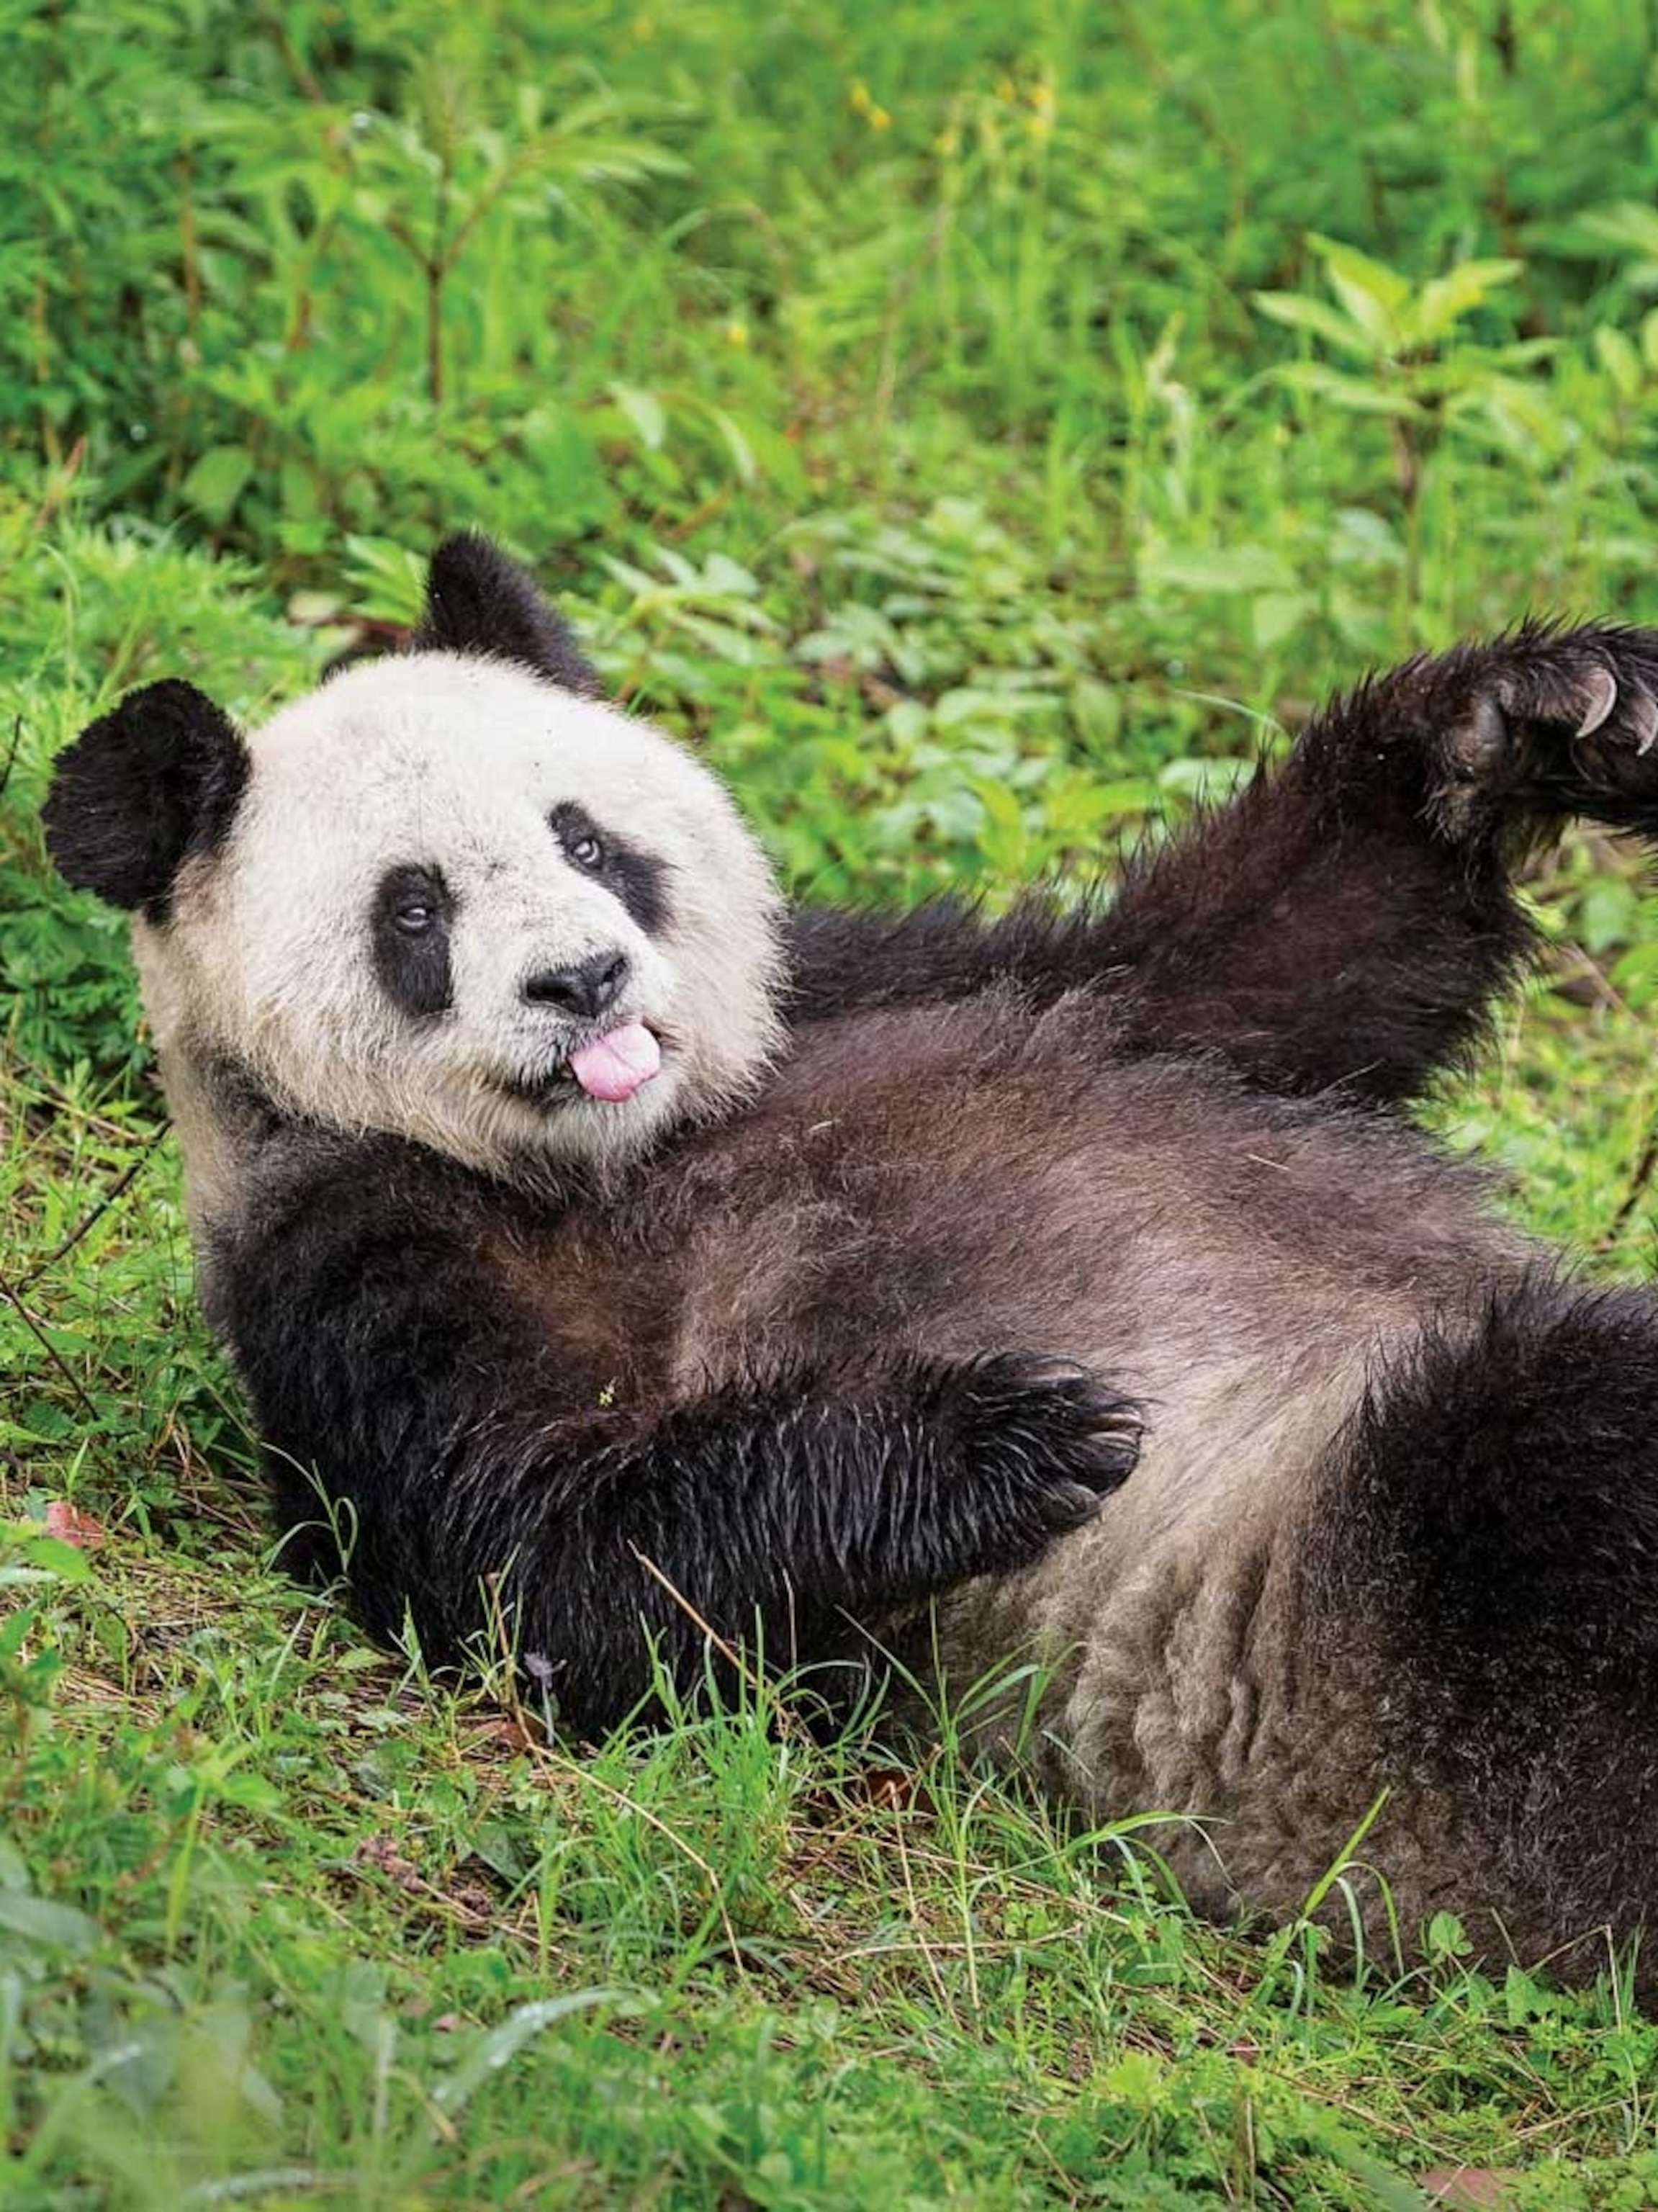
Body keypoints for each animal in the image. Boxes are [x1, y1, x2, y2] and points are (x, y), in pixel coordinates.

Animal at [42, 532, 1658, 1992]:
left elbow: (1258, 975)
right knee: (1538, 1451)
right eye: (415, 909)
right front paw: (992, 1440)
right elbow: (547, 1565)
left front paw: (1529, 715)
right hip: (1384, 1665)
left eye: (586, 839)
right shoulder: (355, 1254)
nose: (585, 980)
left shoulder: (875, 985)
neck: (628, 1146)